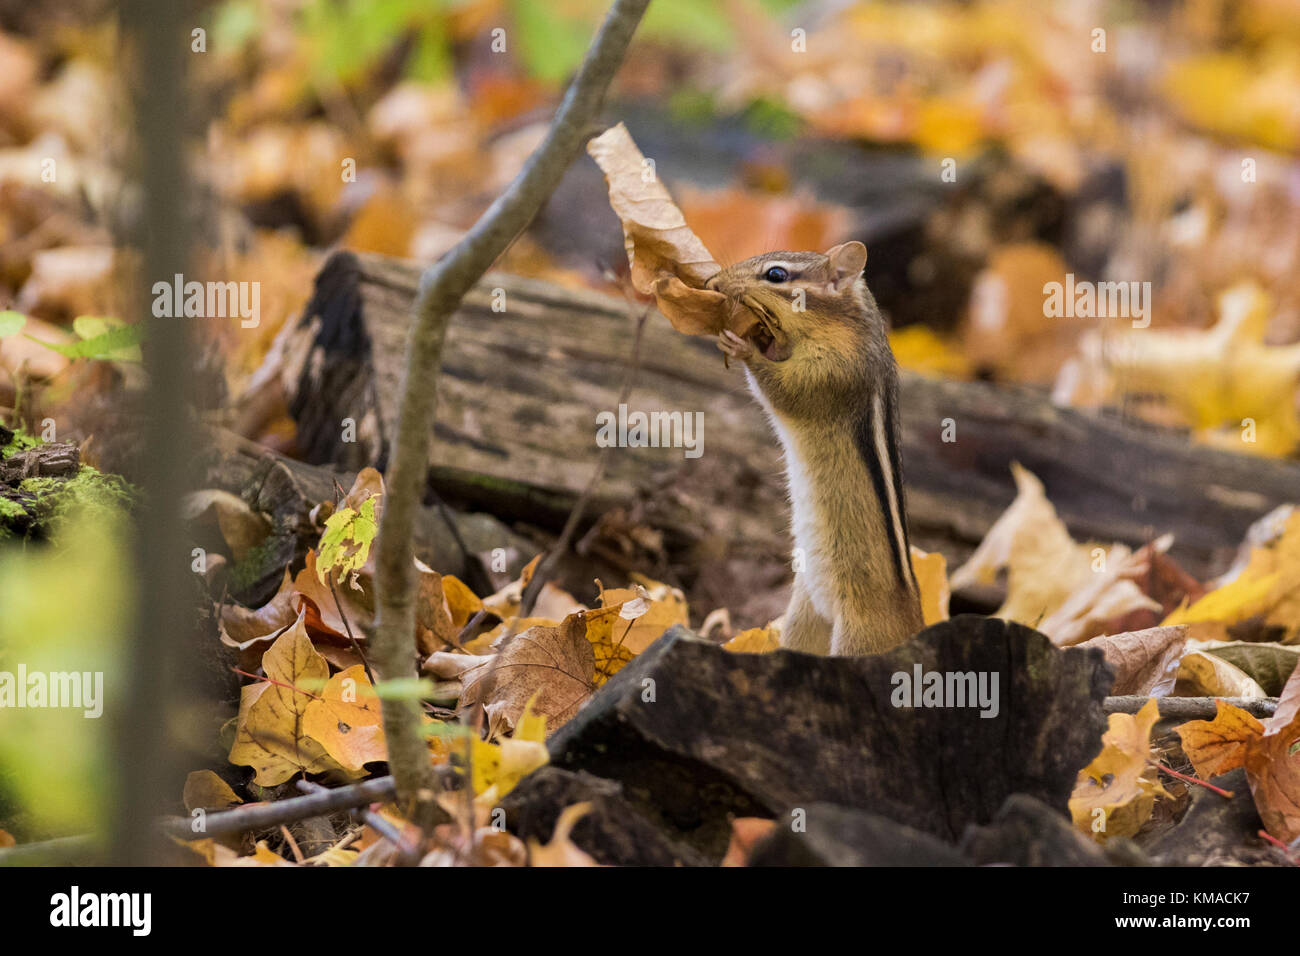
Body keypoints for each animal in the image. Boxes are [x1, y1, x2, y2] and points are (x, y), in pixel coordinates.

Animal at [709, 241, 924, 656]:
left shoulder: (832, 374)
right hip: (804, 614)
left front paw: (744, 345)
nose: (713, 282)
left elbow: (784, 390)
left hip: (857, 639)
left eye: (776, 274)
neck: (848, 323)